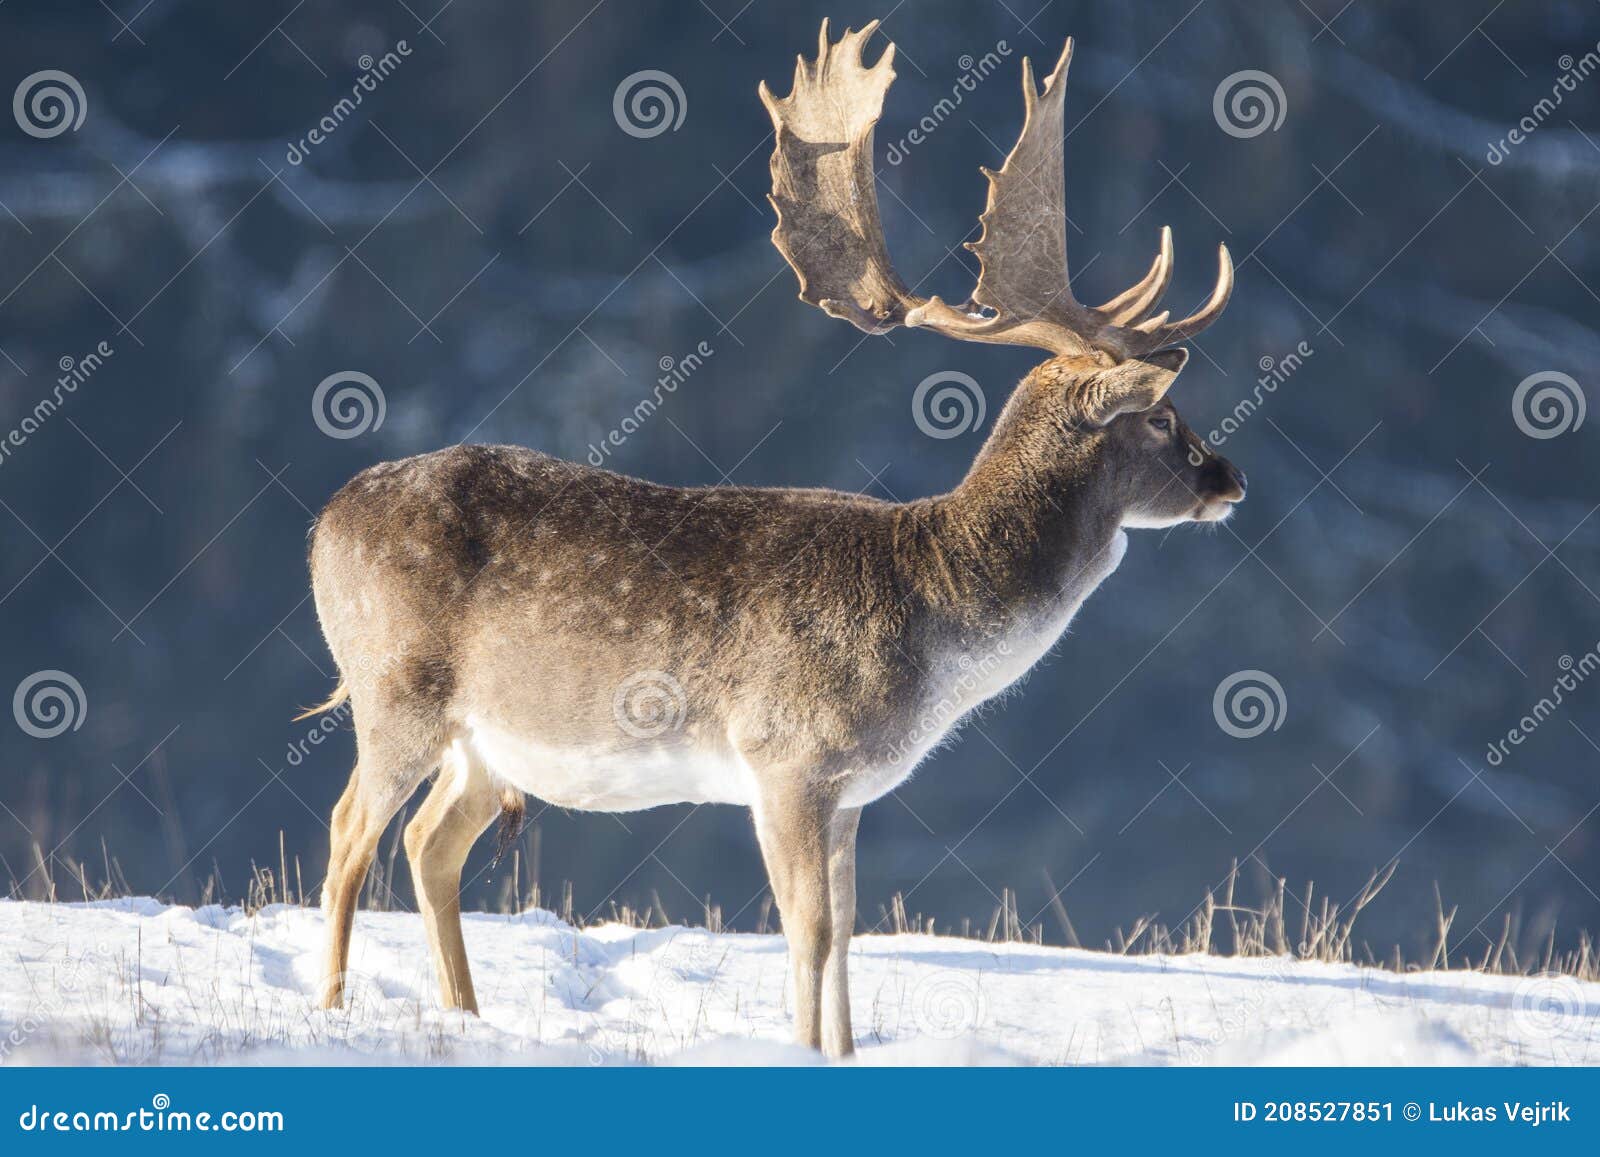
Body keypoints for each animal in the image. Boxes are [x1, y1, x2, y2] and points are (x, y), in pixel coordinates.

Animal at [302, 20, 1245, 1059]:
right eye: (1162, 419)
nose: (1228, 479)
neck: (934, 617)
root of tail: (322, 520)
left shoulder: (851, 791)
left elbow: (847, 935)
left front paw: (842, 1048)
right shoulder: (785, 753)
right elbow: (809, 930)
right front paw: (799, 1048)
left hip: (485, 741)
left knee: (430, 844)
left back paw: (467, 1015)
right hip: (394, 687)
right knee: (347, 832)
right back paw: (331, 1008)